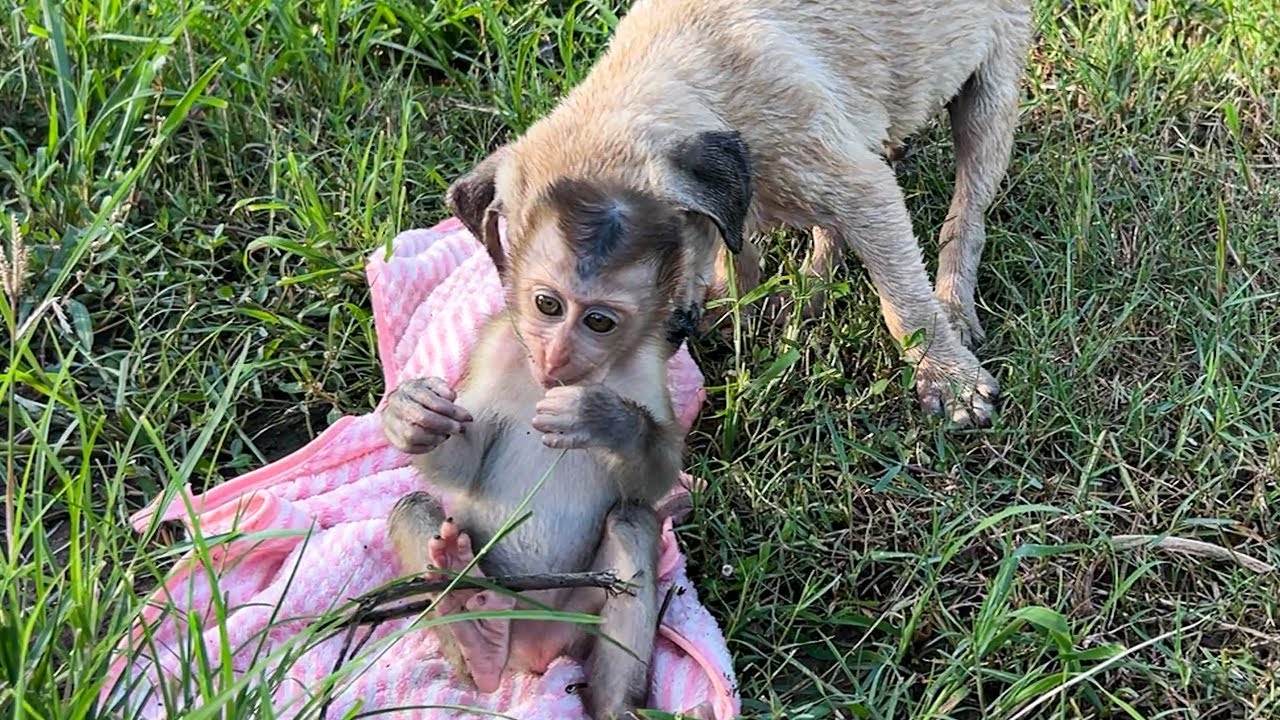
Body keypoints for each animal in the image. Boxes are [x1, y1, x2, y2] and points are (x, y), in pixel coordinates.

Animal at [382, 178, 696, 719]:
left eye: (598, 322)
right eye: (549, 306)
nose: (555, 354)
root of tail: (527, 654)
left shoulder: (648, 369)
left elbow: (654, 482)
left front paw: (603, 419)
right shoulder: (496, 346)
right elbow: (464, 465)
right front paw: (411, 414)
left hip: (572, 620)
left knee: (631, 521)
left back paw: (610, 705)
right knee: (413, 508)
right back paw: (477, 643)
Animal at [443, 0, 1033, 427]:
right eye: (540, 301)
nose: (557, 372)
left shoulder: (865, 193)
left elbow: (905, 305)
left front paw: (949, 380)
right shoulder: (747, 200)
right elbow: (738, 253)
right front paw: (737, 304)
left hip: (991, 93)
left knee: (966, 217)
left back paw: (952, 307)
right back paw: (811, 291)